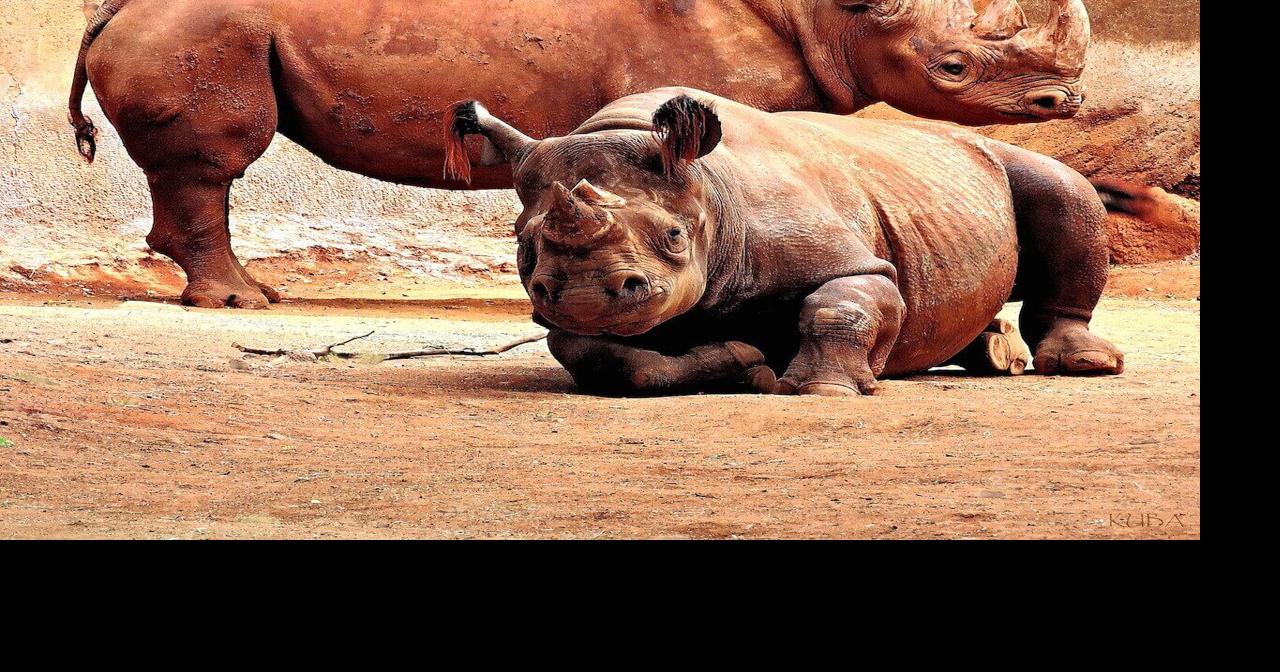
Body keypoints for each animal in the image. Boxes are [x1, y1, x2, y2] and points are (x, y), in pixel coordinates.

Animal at [67, 0, 1091, 309]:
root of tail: (111, 10)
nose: (1065, 105)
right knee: (213, 163)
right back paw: (242, 303)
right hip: (205, 29)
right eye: (954, 67)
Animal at [443, 88, 1124, 395]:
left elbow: (840, 303)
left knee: (1062, 190)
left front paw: (817, 389)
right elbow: (606, 358)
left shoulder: (851, 259)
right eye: (522, 244)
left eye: (673, 236)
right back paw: (993, 354)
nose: (585, 297)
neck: (708, 192)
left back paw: (1085, 366)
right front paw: (744, 362)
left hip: (994, 157)